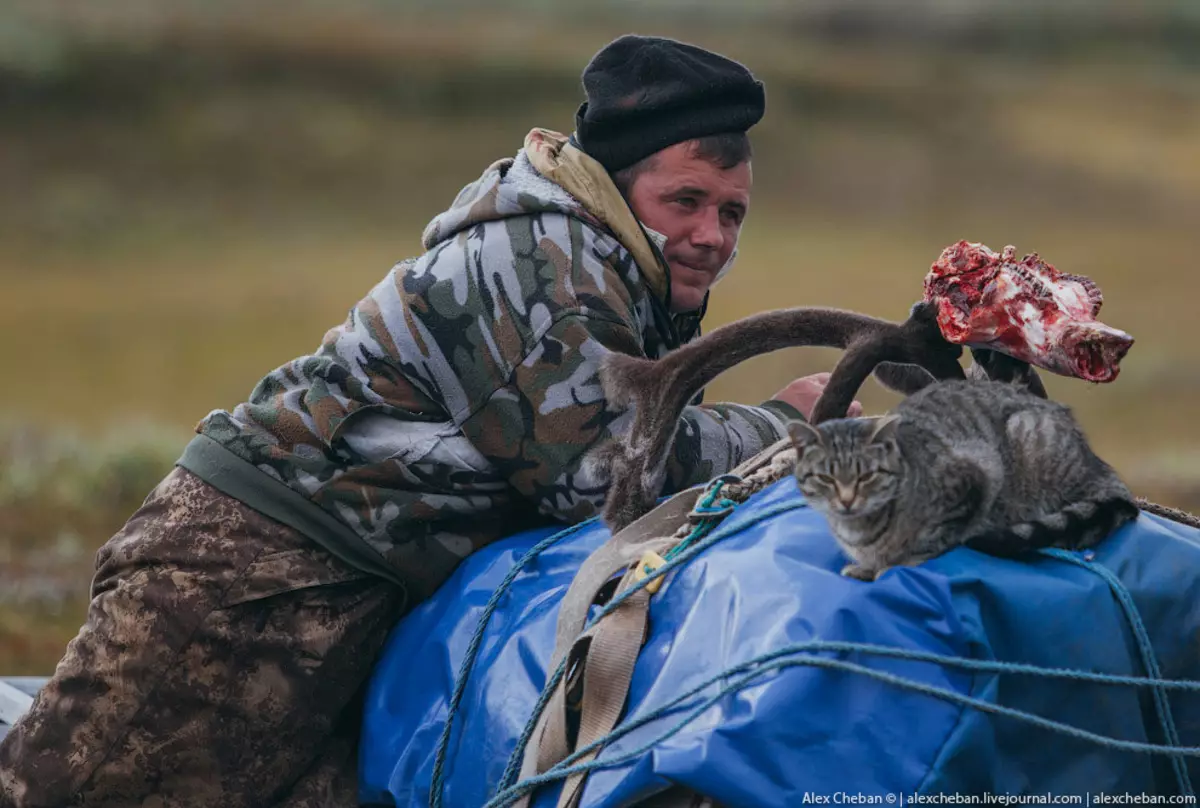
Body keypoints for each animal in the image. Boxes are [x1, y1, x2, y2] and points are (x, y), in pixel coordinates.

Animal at [787, 379, 1132, 581]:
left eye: (866, 476)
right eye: (826, 478)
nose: (846, 501)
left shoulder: (979, 476)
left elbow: (937, 538)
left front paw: (899, 563)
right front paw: (866, 568)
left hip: (1028, 436)